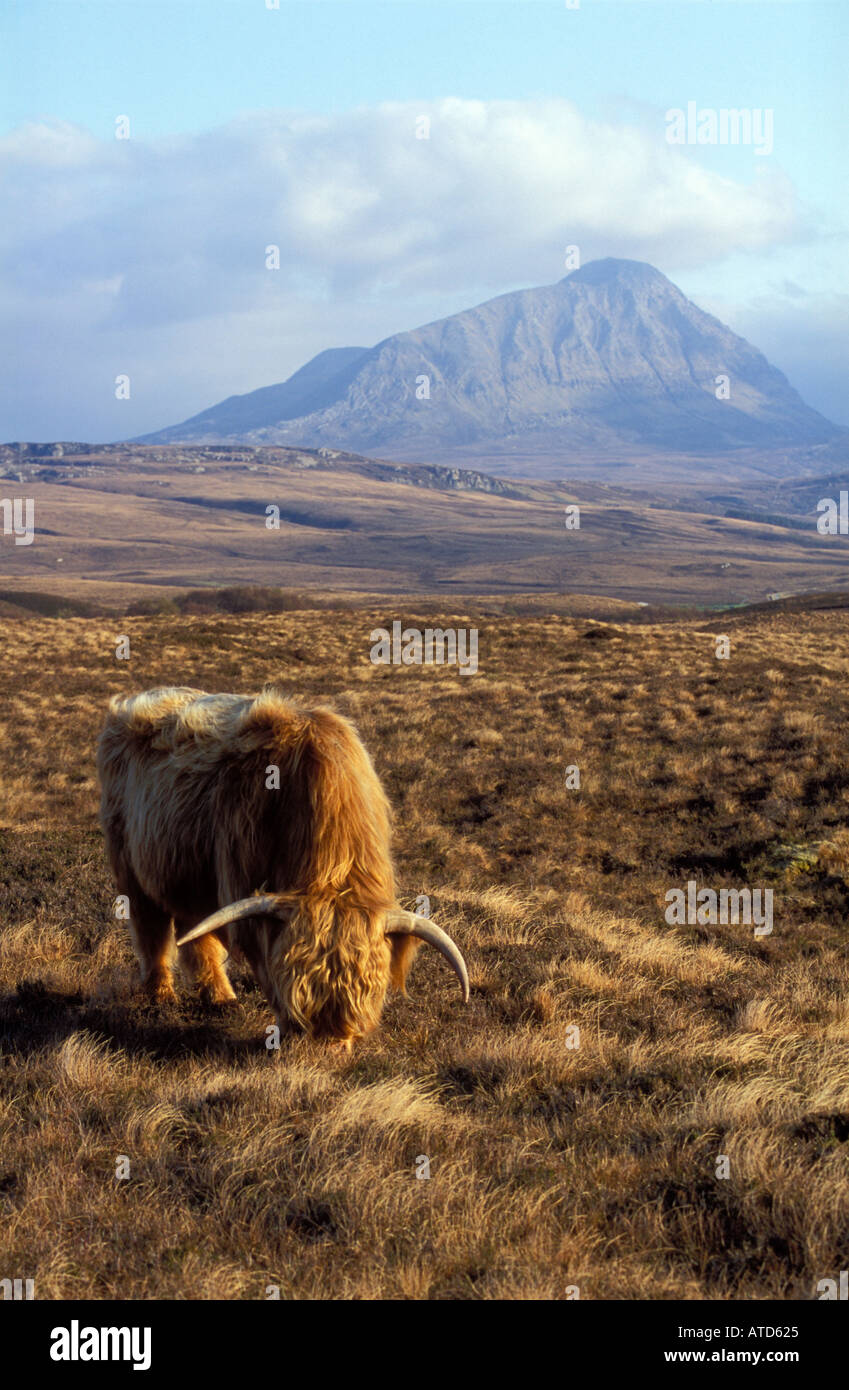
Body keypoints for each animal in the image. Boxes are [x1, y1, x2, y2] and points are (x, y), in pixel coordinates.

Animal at [97, 687, 468, 1046]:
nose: (327, 1050)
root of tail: (129, 703)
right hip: (129, 865)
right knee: (151, 930)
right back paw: (162, 995)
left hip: (188, 873)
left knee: (193, 931)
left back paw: (220, 999)